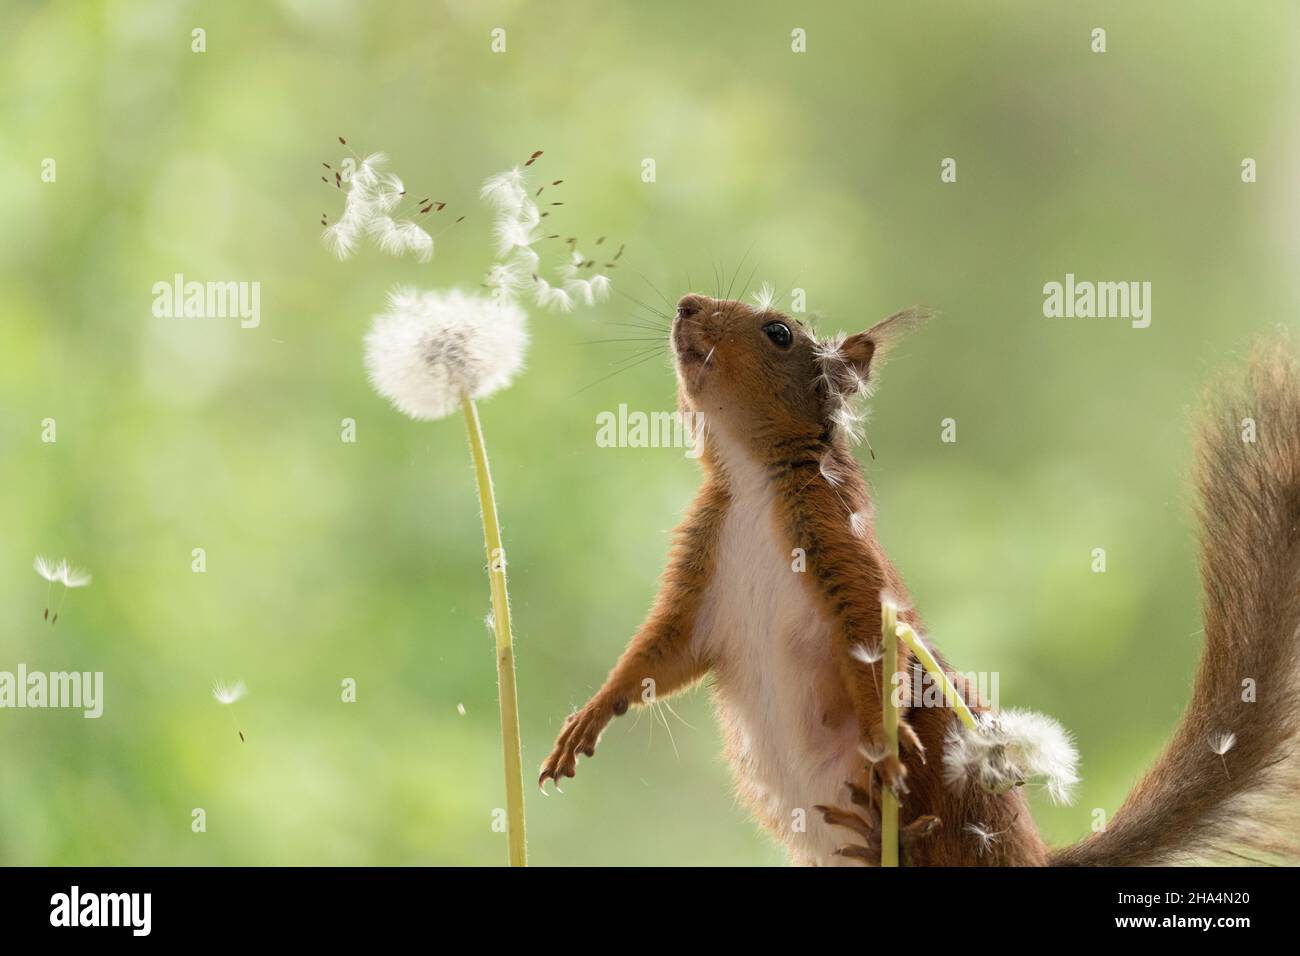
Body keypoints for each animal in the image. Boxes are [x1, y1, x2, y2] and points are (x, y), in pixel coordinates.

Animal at [540, 292, 1300, 866]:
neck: (754, 477)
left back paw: (895, 833)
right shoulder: (700, 572)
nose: (687, 303)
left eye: (778, 332)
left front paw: (883, 750)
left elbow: (872, 647)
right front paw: (588, 716)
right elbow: (661, 653)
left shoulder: (846, 558)